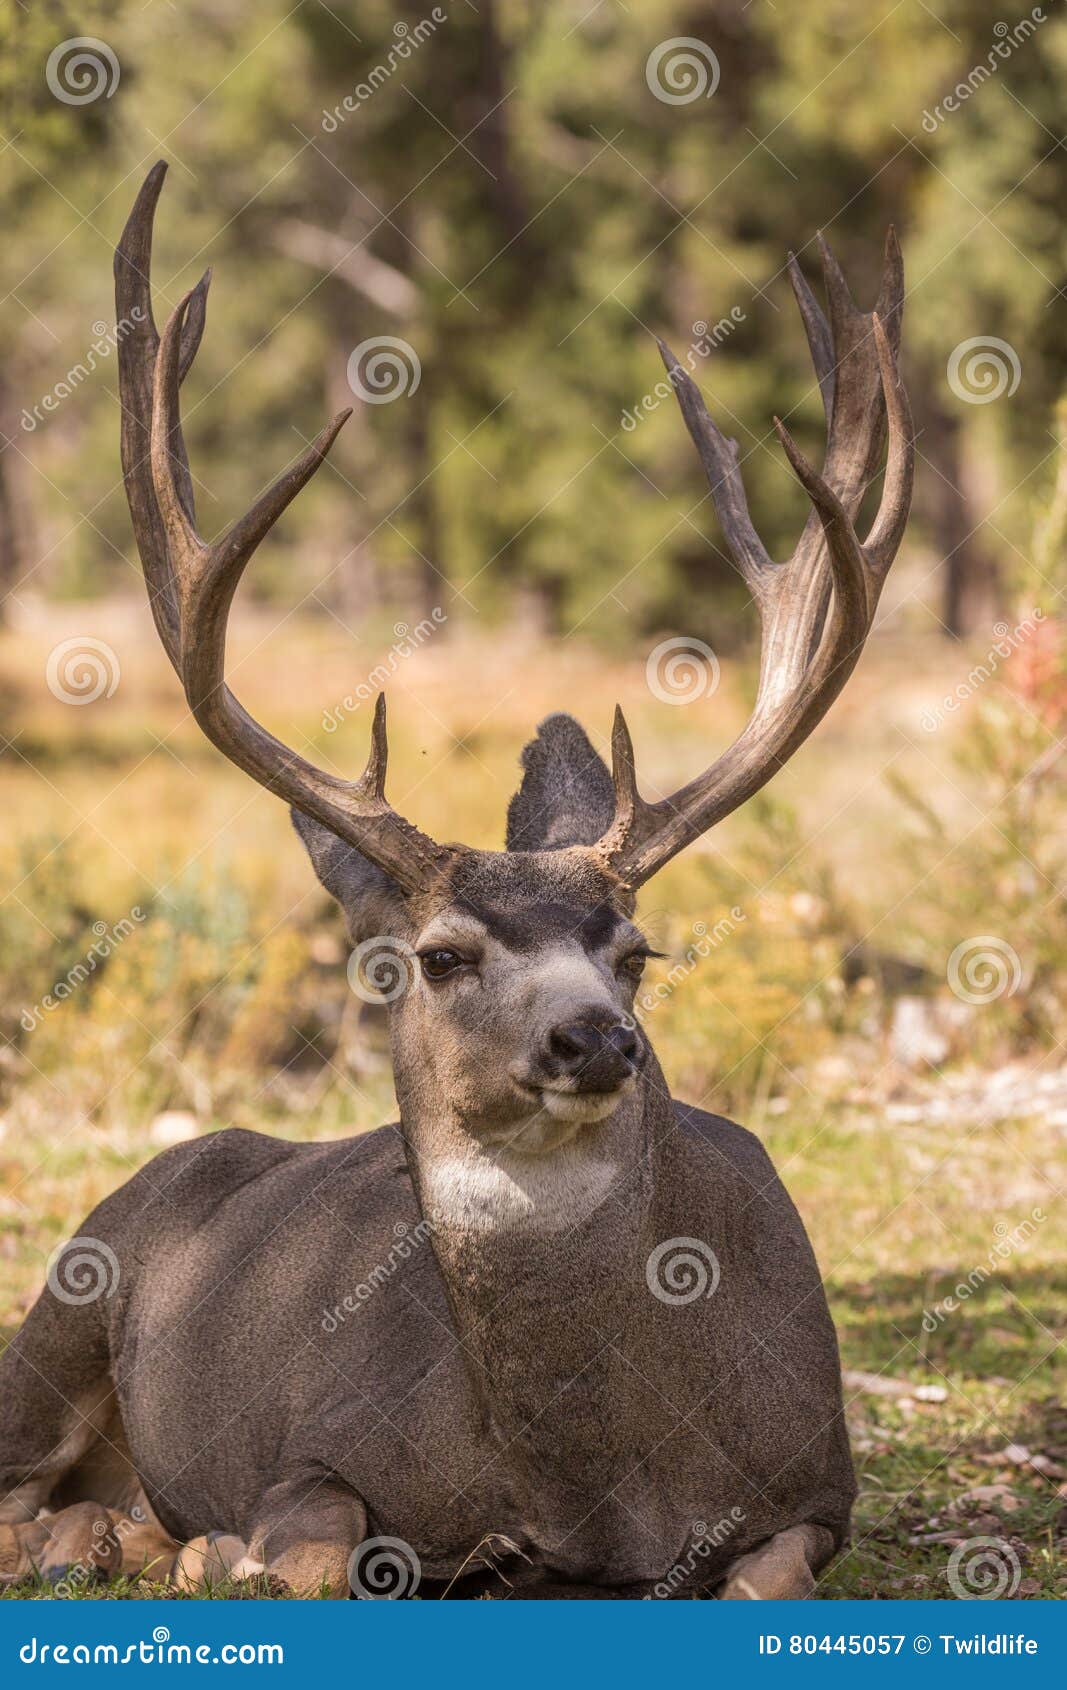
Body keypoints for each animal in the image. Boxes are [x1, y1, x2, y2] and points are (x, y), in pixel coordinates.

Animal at [0, 164, 912, 1600]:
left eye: (635, 950)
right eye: (439, 955)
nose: (595, 1038)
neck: (594, 1490)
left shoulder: (817, 1485)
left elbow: (763, 1573)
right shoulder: (316, 1437)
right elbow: (303, 1554)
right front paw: (215, 1547)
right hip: (56, 1305)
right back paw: (103, 1531)